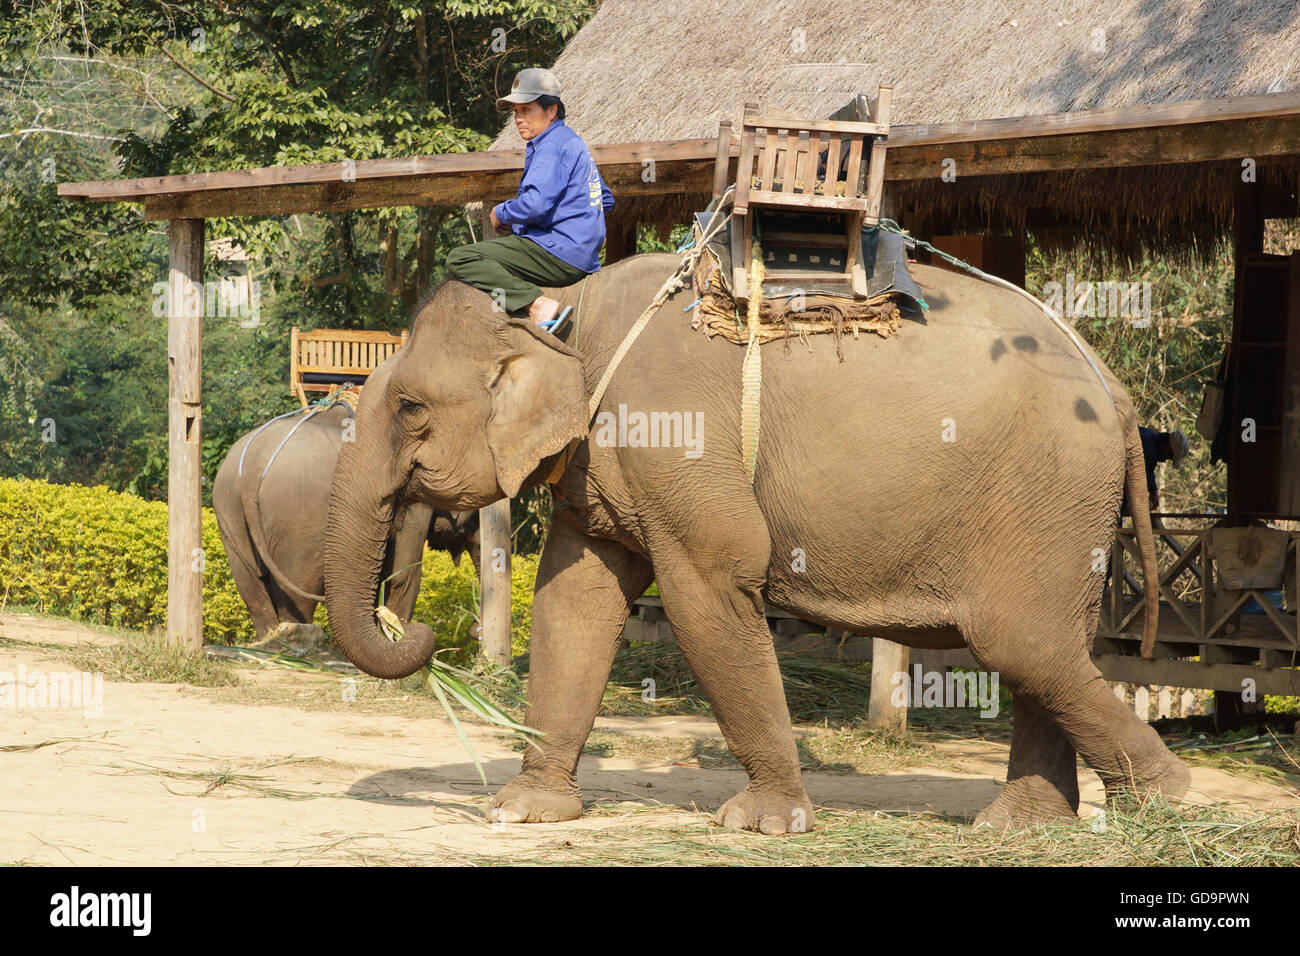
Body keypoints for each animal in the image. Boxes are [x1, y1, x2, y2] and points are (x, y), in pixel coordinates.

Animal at [214, 399, 478, 641]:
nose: (475, 630)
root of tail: (252, 468)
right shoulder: (414, 502)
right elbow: (403, 574)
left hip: (230, 510)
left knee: (253, 592)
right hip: (298, 522)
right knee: (298, 595)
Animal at [322, 254, 1190, 833]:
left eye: (408, 407)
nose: (415, 628)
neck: (569, 312)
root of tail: (1114, 386)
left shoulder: (676, 437)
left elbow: (710, 584)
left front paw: (762, 825)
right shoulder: (602, 463)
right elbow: (574, 599)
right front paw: (525, 812)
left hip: (1048, 495)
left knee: (1022, 643)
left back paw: (1167, 802)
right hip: (1058, 512)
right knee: (1046, 649)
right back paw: (1025, 826)